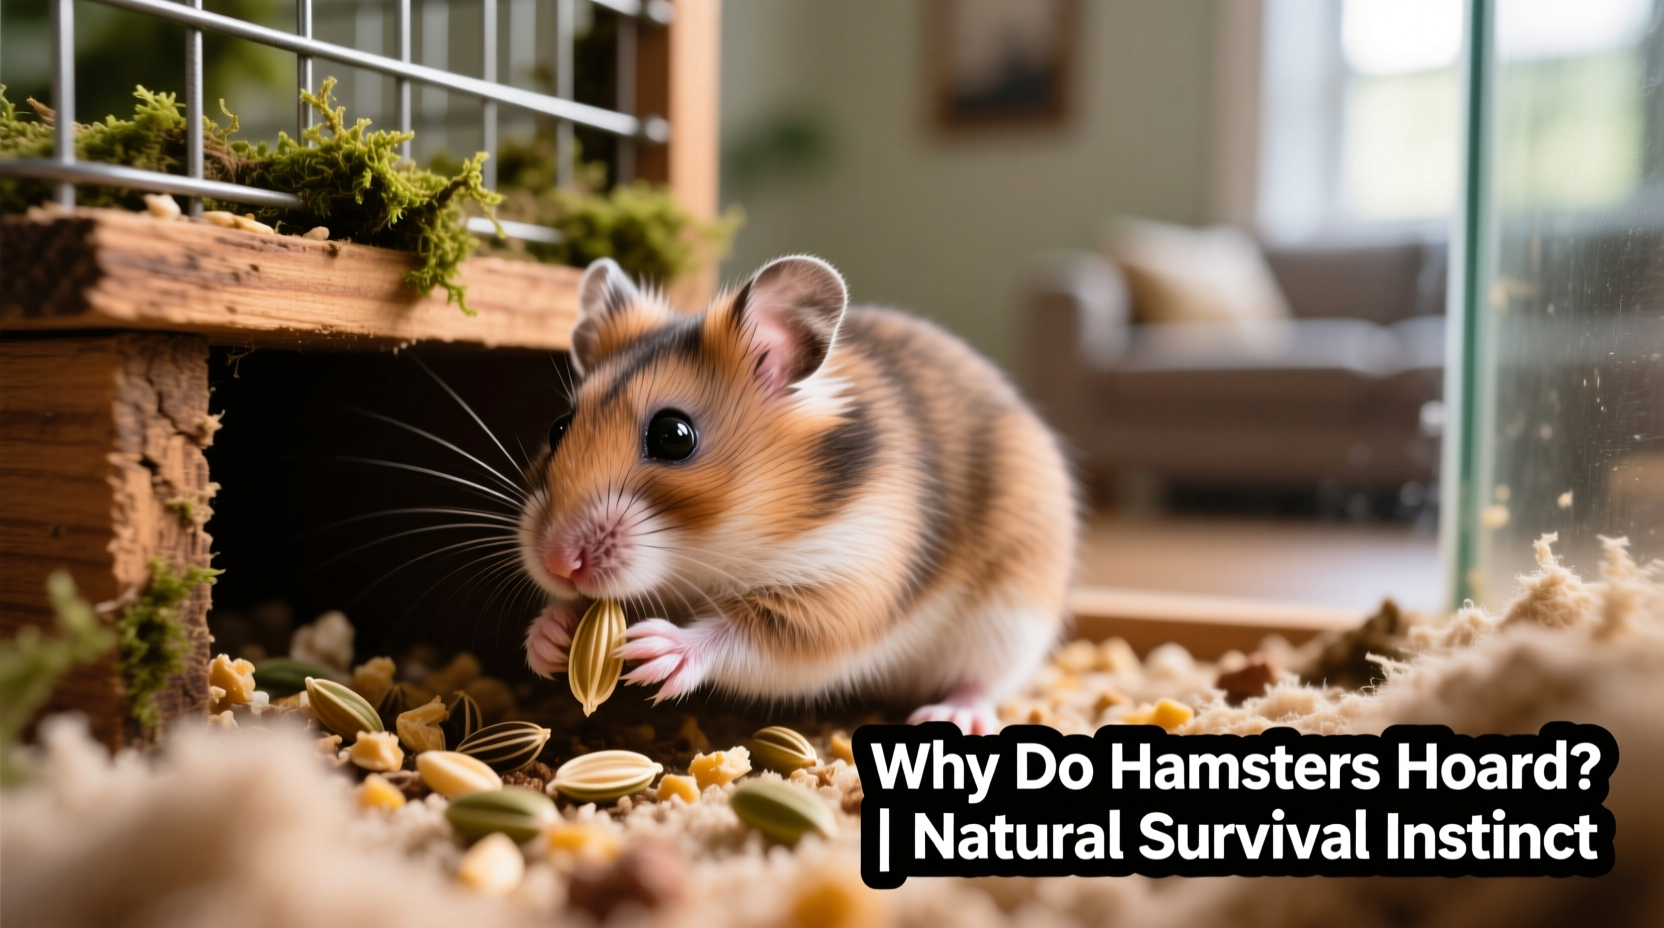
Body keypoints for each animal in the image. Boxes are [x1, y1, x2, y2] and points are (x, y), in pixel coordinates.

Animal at [518, 255, 1076, 733]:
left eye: (673, 436)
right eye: (559, 428)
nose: (557, 562)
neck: (711, 548)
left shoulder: (845, 584)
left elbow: (747, 636)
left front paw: (655, 651)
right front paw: (548, 641)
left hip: (1013, 614)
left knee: (982, 680)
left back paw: (948, 715)